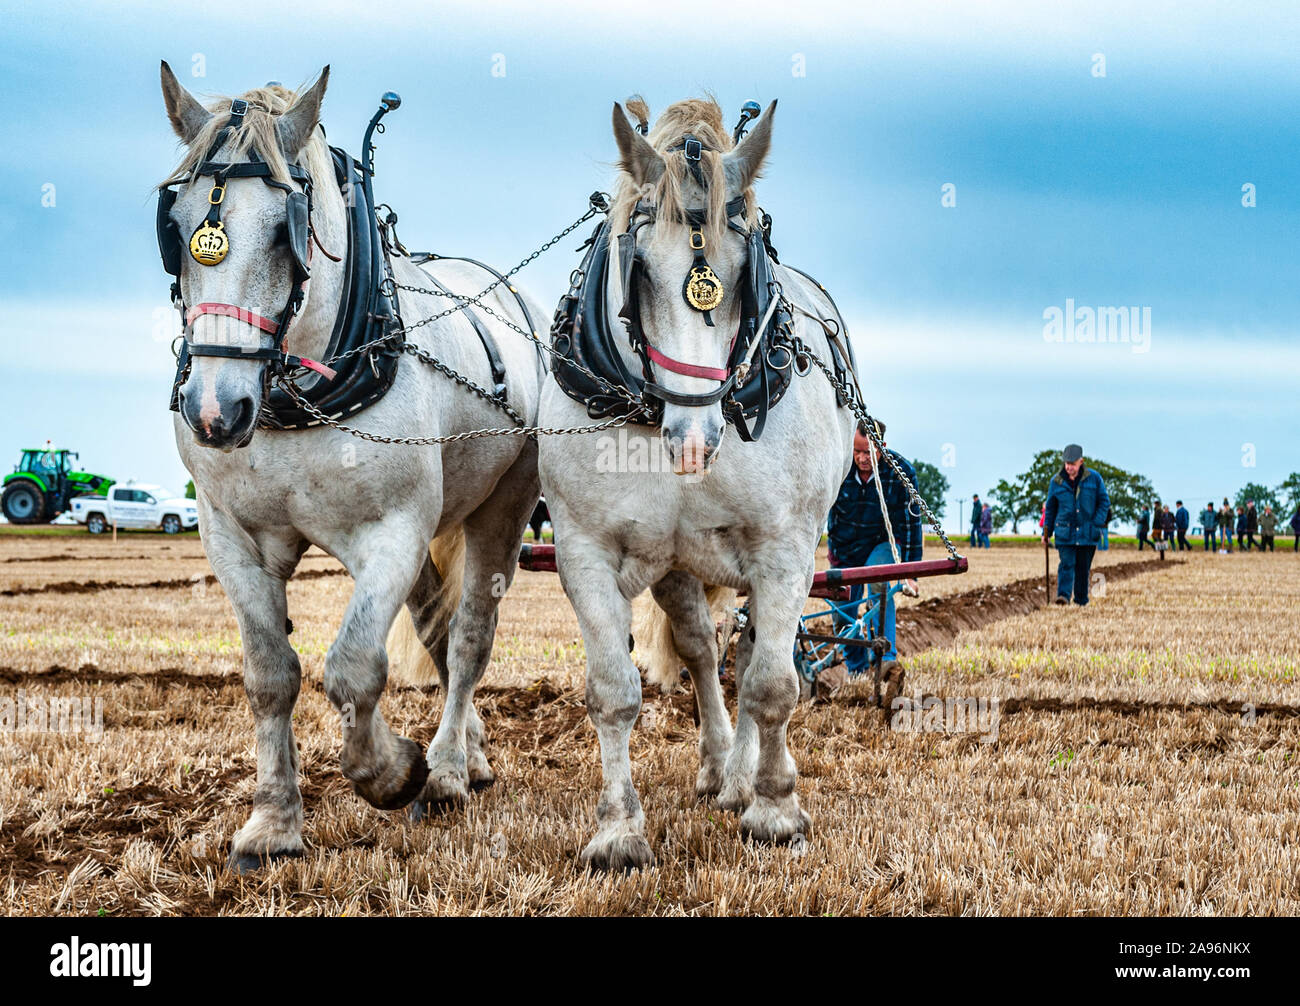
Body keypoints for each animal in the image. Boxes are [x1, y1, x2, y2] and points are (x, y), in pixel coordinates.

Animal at [158, 63, 545, 871]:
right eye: (172, 226)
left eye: (287, 229)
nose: (214, 411)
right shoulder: (230, 535)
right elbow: (270, 675)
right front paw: (272, 824)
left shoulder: (393, 532)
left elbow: (354, 667)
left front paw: (394, 772)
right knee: (437, 631)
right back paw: (471, 756)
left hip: (502, 506)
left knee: (469, 638)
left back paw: (449, 772)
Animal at [538, 97, 857, 869]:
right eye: (639, 266)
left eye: (744, 269)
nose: (694, 439)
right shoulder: (584, 550)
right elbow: (612, 690)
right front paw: (618, 831)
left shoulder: (784, 548)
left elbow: (772, 683)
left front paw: (776, 809)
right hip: (678, 564)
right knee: (705, 652)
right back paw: (718, 767)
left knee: (752, 651)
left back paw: (746, 778)